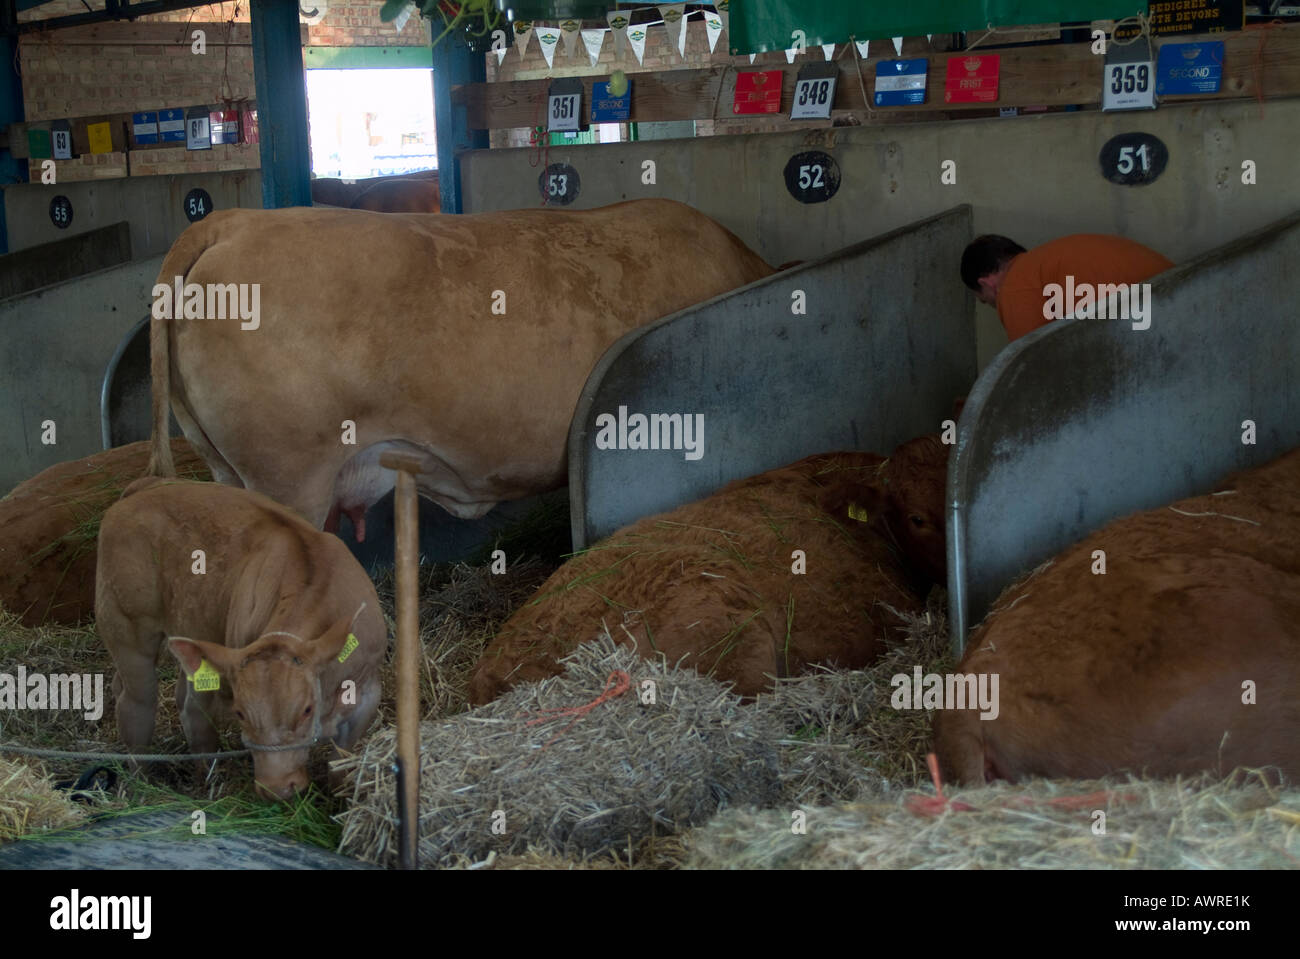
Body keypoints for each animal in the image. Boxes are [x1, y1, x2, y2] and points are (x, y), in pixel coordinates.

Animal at [95, 477, 387, 799]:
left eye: (306, 709)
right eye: (240, 713)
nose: (276, 788)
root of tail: (146, 487)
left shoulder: (367, 693)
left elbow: (340, 767)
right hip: (128, 626)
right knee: (140, 705)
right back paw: (143, 782)